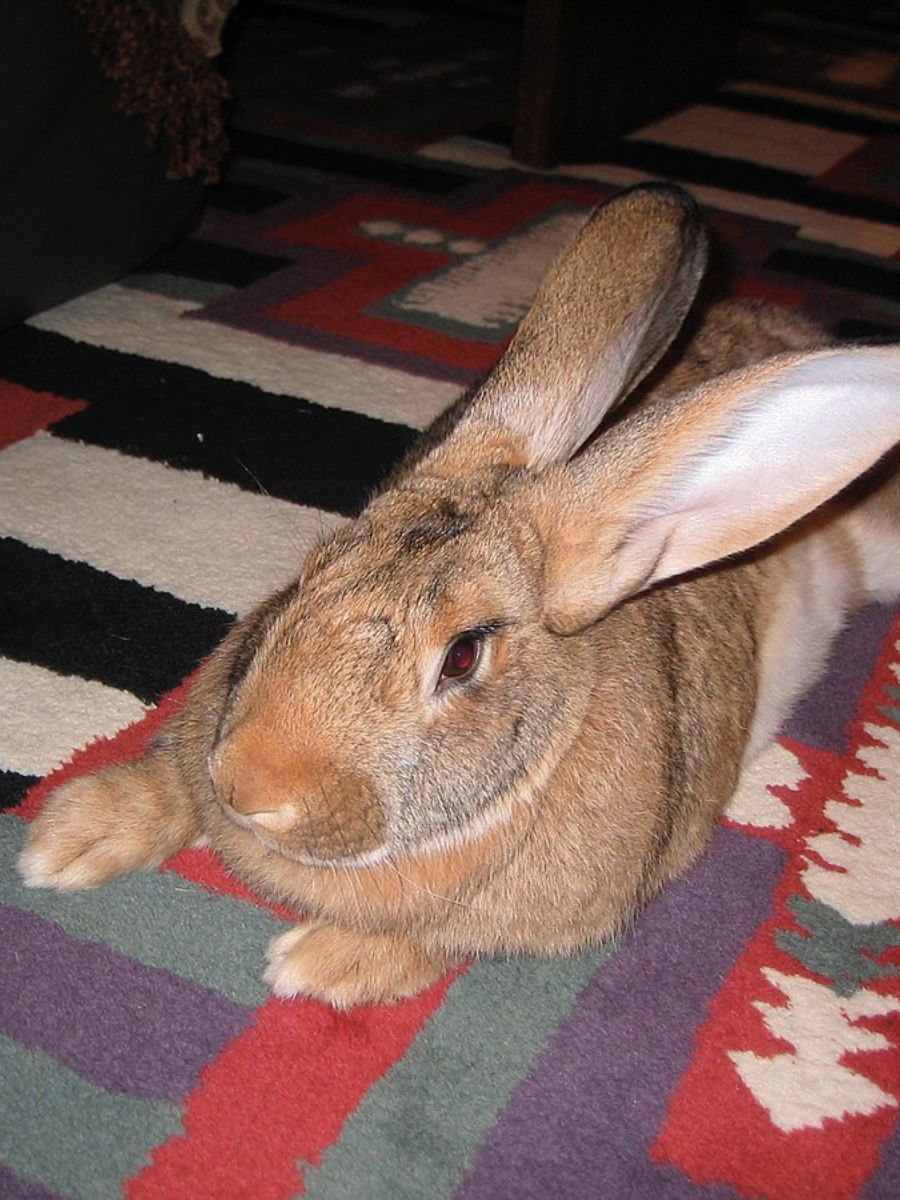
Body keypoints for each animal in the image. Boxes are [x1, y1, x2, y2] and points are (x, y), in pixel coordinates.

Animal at [17, 183, 900, 1010]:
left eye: (464, 657)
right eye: (310, 573)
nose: (248, 788)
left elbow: (436, 941)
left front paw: (322, 963)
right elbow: (168, 782)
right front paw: (69, 837)